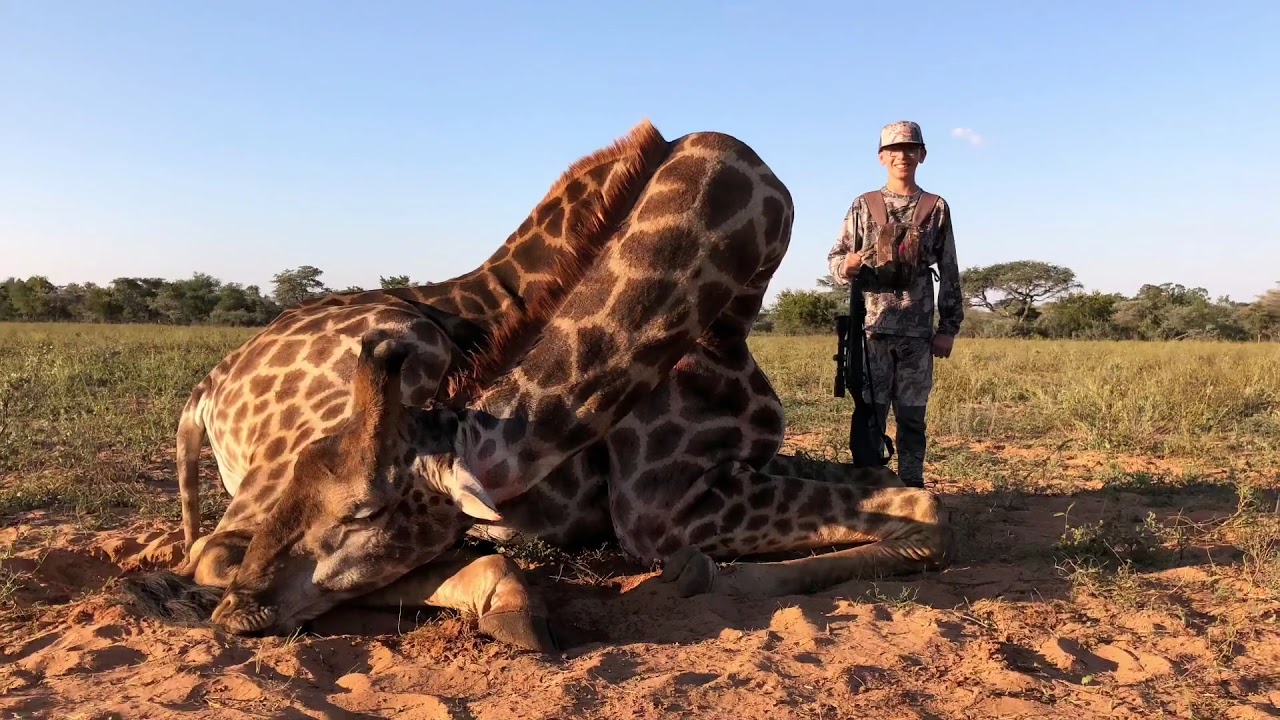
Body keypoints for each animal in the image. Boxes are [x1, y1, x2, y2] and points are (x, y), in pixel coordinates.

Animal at [132, 120, 953, 652]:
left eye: (364, 511)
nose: (241, 616)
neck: (729, 302)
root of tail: (207, 389)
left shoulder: (746, 462)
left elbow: (909, 499)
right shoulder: (659, 506)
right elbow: (925, 510)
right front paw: (706, 578)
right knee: (211, 554)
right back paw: (505, 593)